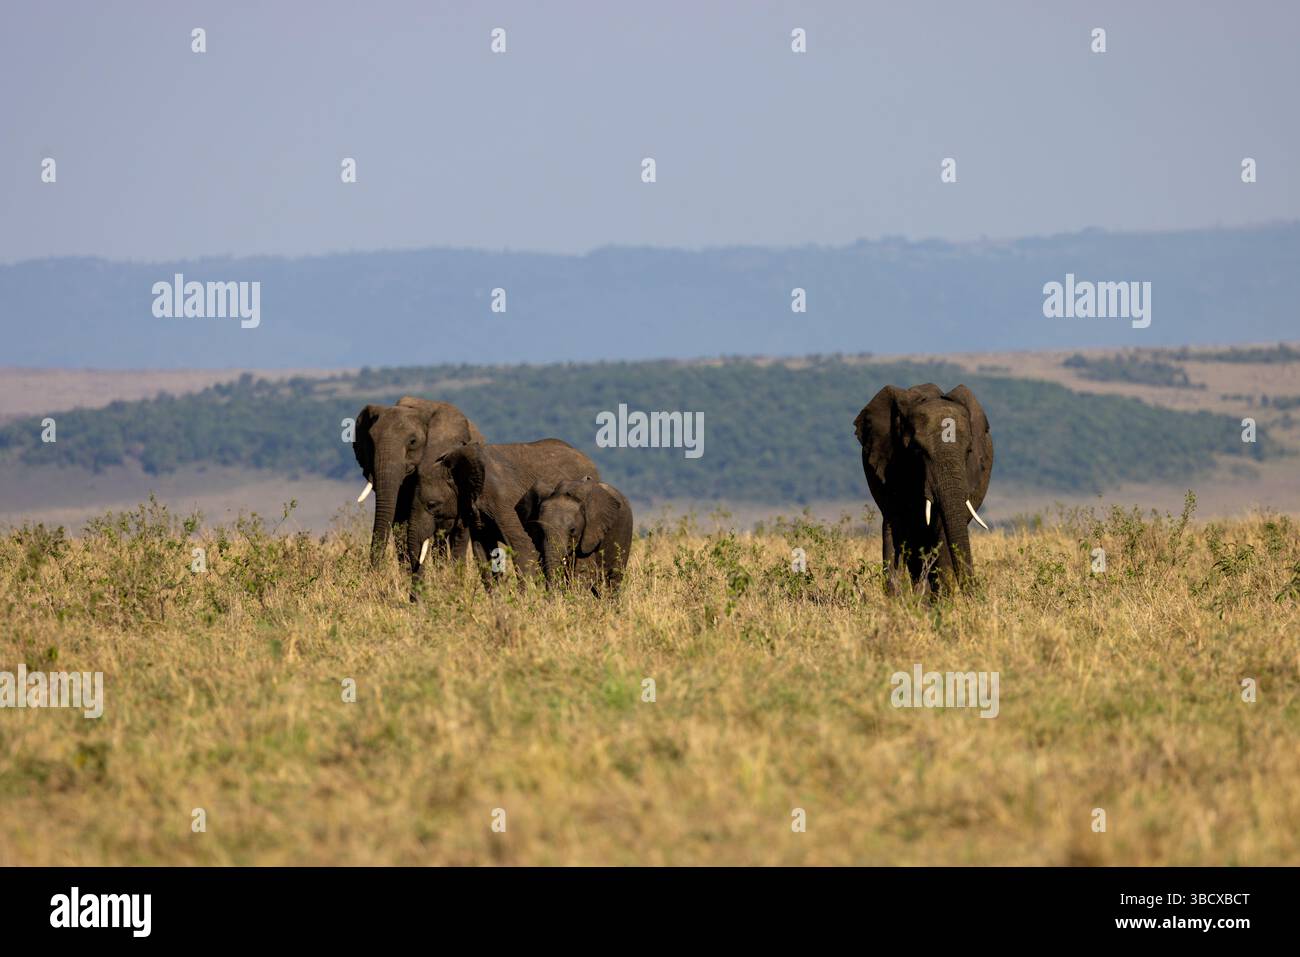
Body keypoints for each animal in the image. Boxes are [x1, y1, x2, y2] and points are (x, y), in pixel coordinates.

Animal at [854, 383, 993, 593]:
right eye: (917, 450)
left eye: (969, 451)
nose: (975, 597)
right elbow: (895, 527)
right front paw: (897, 599)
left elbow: (940, 534)